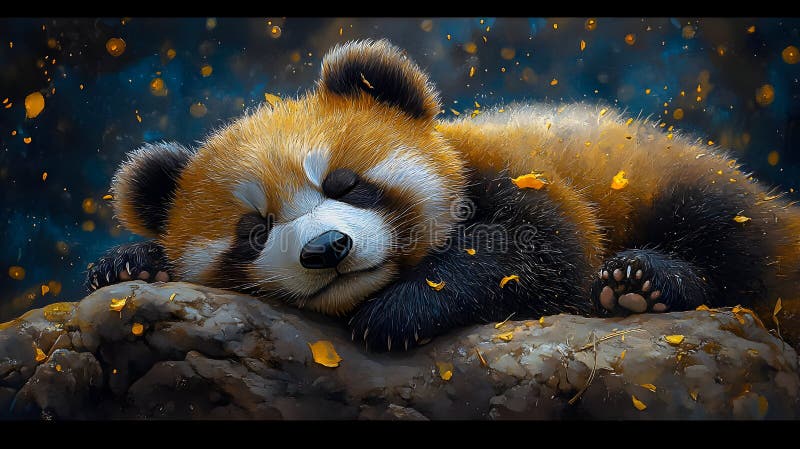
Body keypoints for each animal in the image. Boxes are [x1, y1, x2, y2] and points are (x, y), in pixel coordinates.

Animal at [87, 39, 800, 351]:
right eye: (254, 230)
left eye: (345, 184)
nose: (327, 249)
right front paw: (129, 264)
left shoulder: (519, 171)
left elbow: (542, 248)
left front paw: (400, 311)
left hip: (673, 176)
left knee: (734, 240)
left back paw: (641, 284)